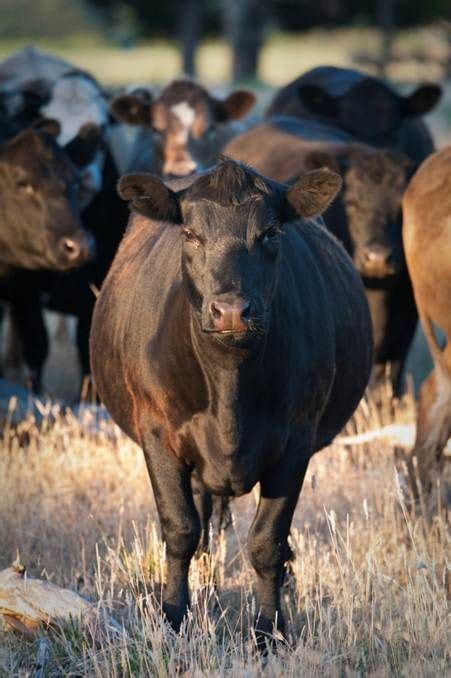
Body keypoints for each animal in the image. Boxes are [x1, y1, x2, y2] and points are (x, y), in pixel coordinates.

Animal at [90, 158, 373, 643]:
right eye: (189, 234)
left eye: (271, 232)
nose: (231, 311)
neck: (229, 393)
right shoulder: (157, 433)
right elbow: (180, 527)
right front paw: (173, 617)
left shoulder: (296, 442)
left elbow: (267, 540)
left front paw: (269, 631)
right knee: (203, 517)